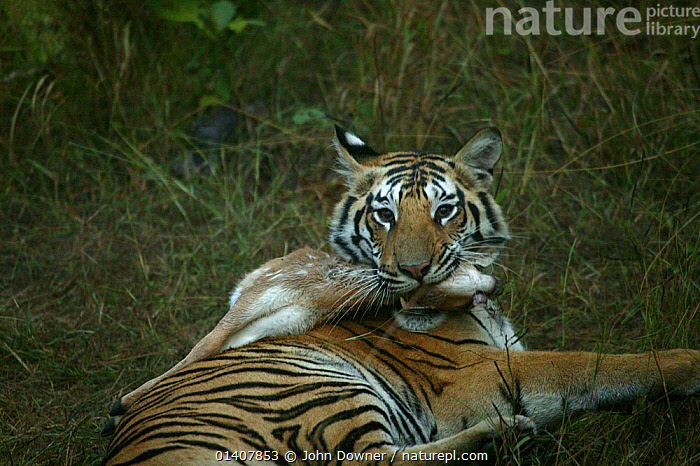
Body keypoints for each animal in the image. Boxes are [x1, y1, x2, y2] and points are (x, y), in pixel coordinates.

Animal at [103, 126, 511, 428]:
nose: (493, 288)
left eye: (445, 211)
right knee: (200, 348)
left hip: (271, 316)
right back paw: (117, 411)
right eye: (384, 215)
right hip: (255, 307)